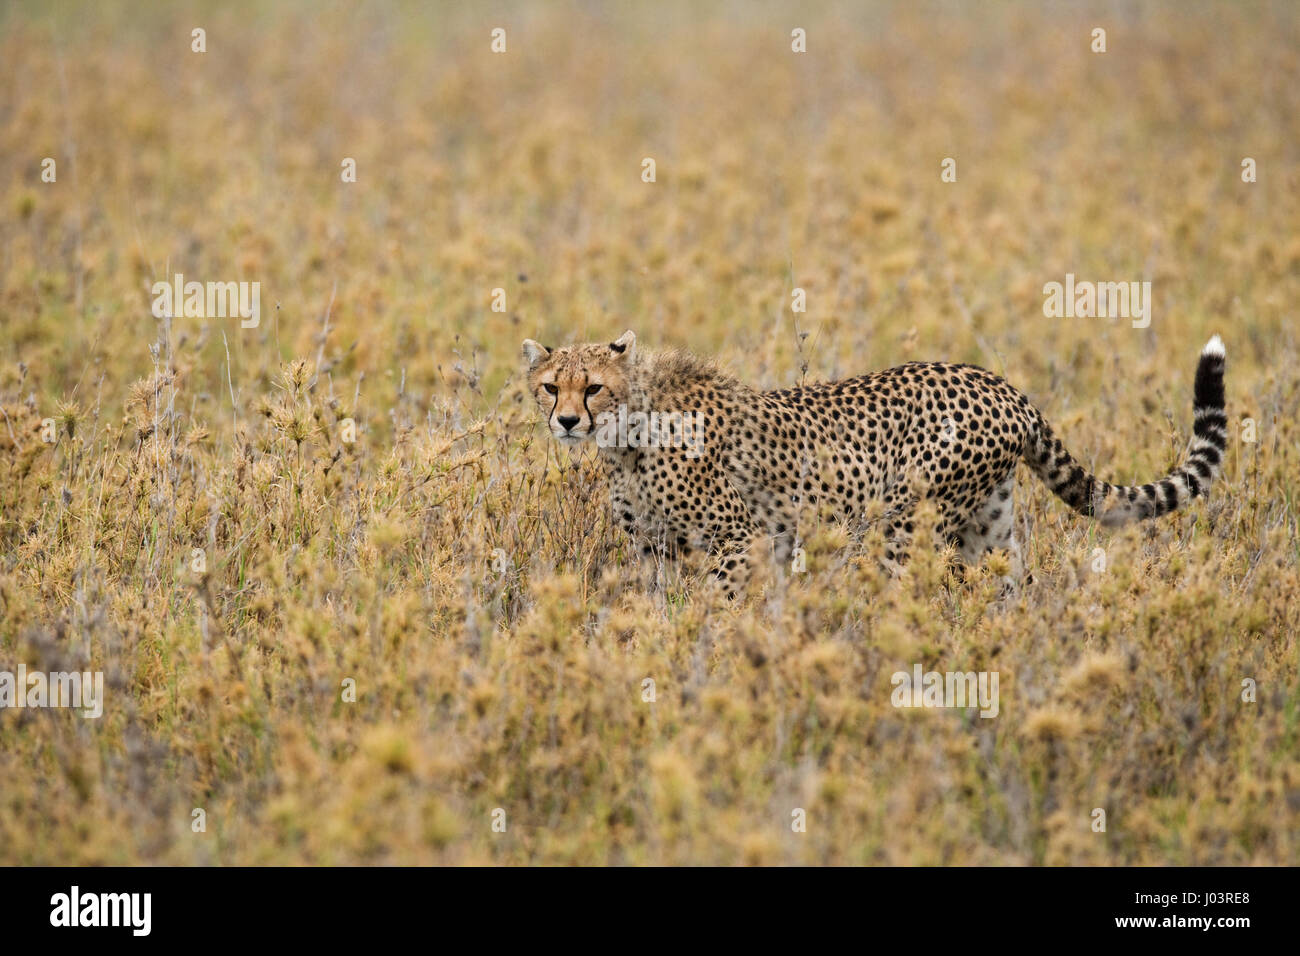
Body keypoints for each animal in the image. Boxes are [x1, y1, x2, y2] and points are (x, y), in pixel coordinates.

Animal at [522, 329, 1227, 595]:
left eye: (593, 387)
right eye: (551, 387)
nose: (566, 421)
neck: (628, 431)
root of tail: (997, 381)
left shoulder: (738, 538)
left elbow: (717, 605)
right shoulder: (654, 548)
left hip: (909, 520)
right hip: (988, 525)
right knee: (1010, 588)